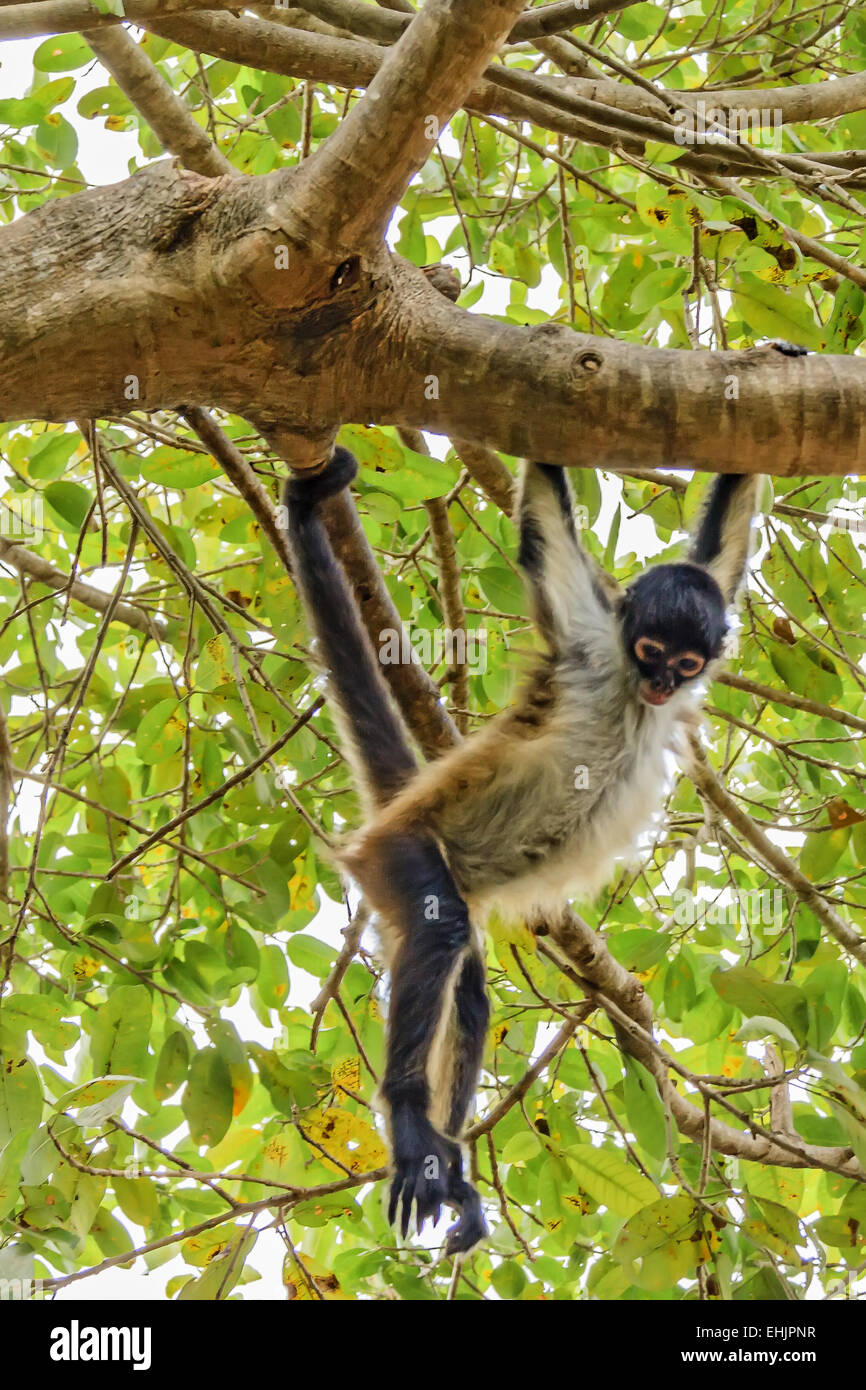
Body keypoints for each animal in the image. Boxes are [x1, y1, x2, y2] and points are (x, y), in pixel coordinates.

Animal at [283, 448, 759, 1256]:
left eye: (691, 661)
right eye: (650, 651)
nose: (666, 682)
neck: (627, 686)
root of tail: (393, 821)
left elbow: (725, 541)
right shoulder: (588, 632)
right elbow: (542, 514)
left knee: (469, 991)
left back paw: (448, 1160)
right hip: (408, 853)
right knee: (440, 930)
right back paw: (410, 1122)